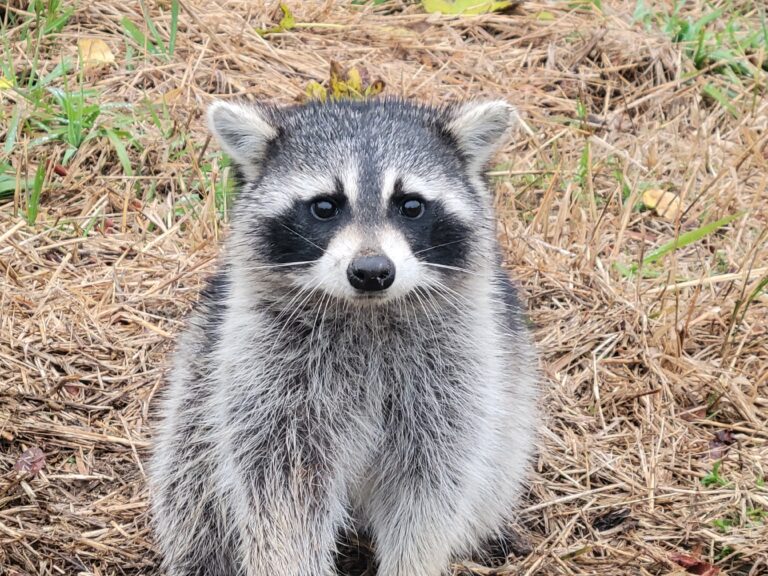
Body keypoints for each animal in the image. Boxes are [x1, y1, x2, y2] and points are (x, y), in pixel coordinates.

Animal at [148, 98, 539, 576]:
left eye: (411, 205)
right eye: (324, 207)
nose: (372, 272)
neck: (366, 313)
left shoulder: (456, 375)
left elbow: (431, 489)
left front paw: (412, 563)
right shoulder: (267, 376)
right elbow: (281, 491)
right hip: (199, 384)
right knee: (191, 486)